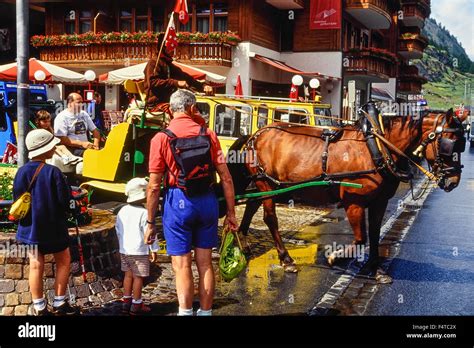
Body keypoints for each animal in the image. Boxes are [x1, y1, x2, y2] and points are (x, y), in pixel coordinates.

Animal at [228, 104, 468, 278]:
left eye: (462, 144)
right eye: (449, 145)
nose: (453, 181)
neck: (377, 147)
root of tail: (255, 135)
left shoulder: (379, 202)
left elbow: (374, 235)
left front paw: (376, 270)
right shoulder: (354, 202)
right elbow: (361, 238)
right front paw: (336, 257)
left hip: (267, 184)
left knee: (251, 206)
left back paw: (244, 243)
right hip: (266, 185)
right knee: (270, 218)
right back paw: (286, 259)